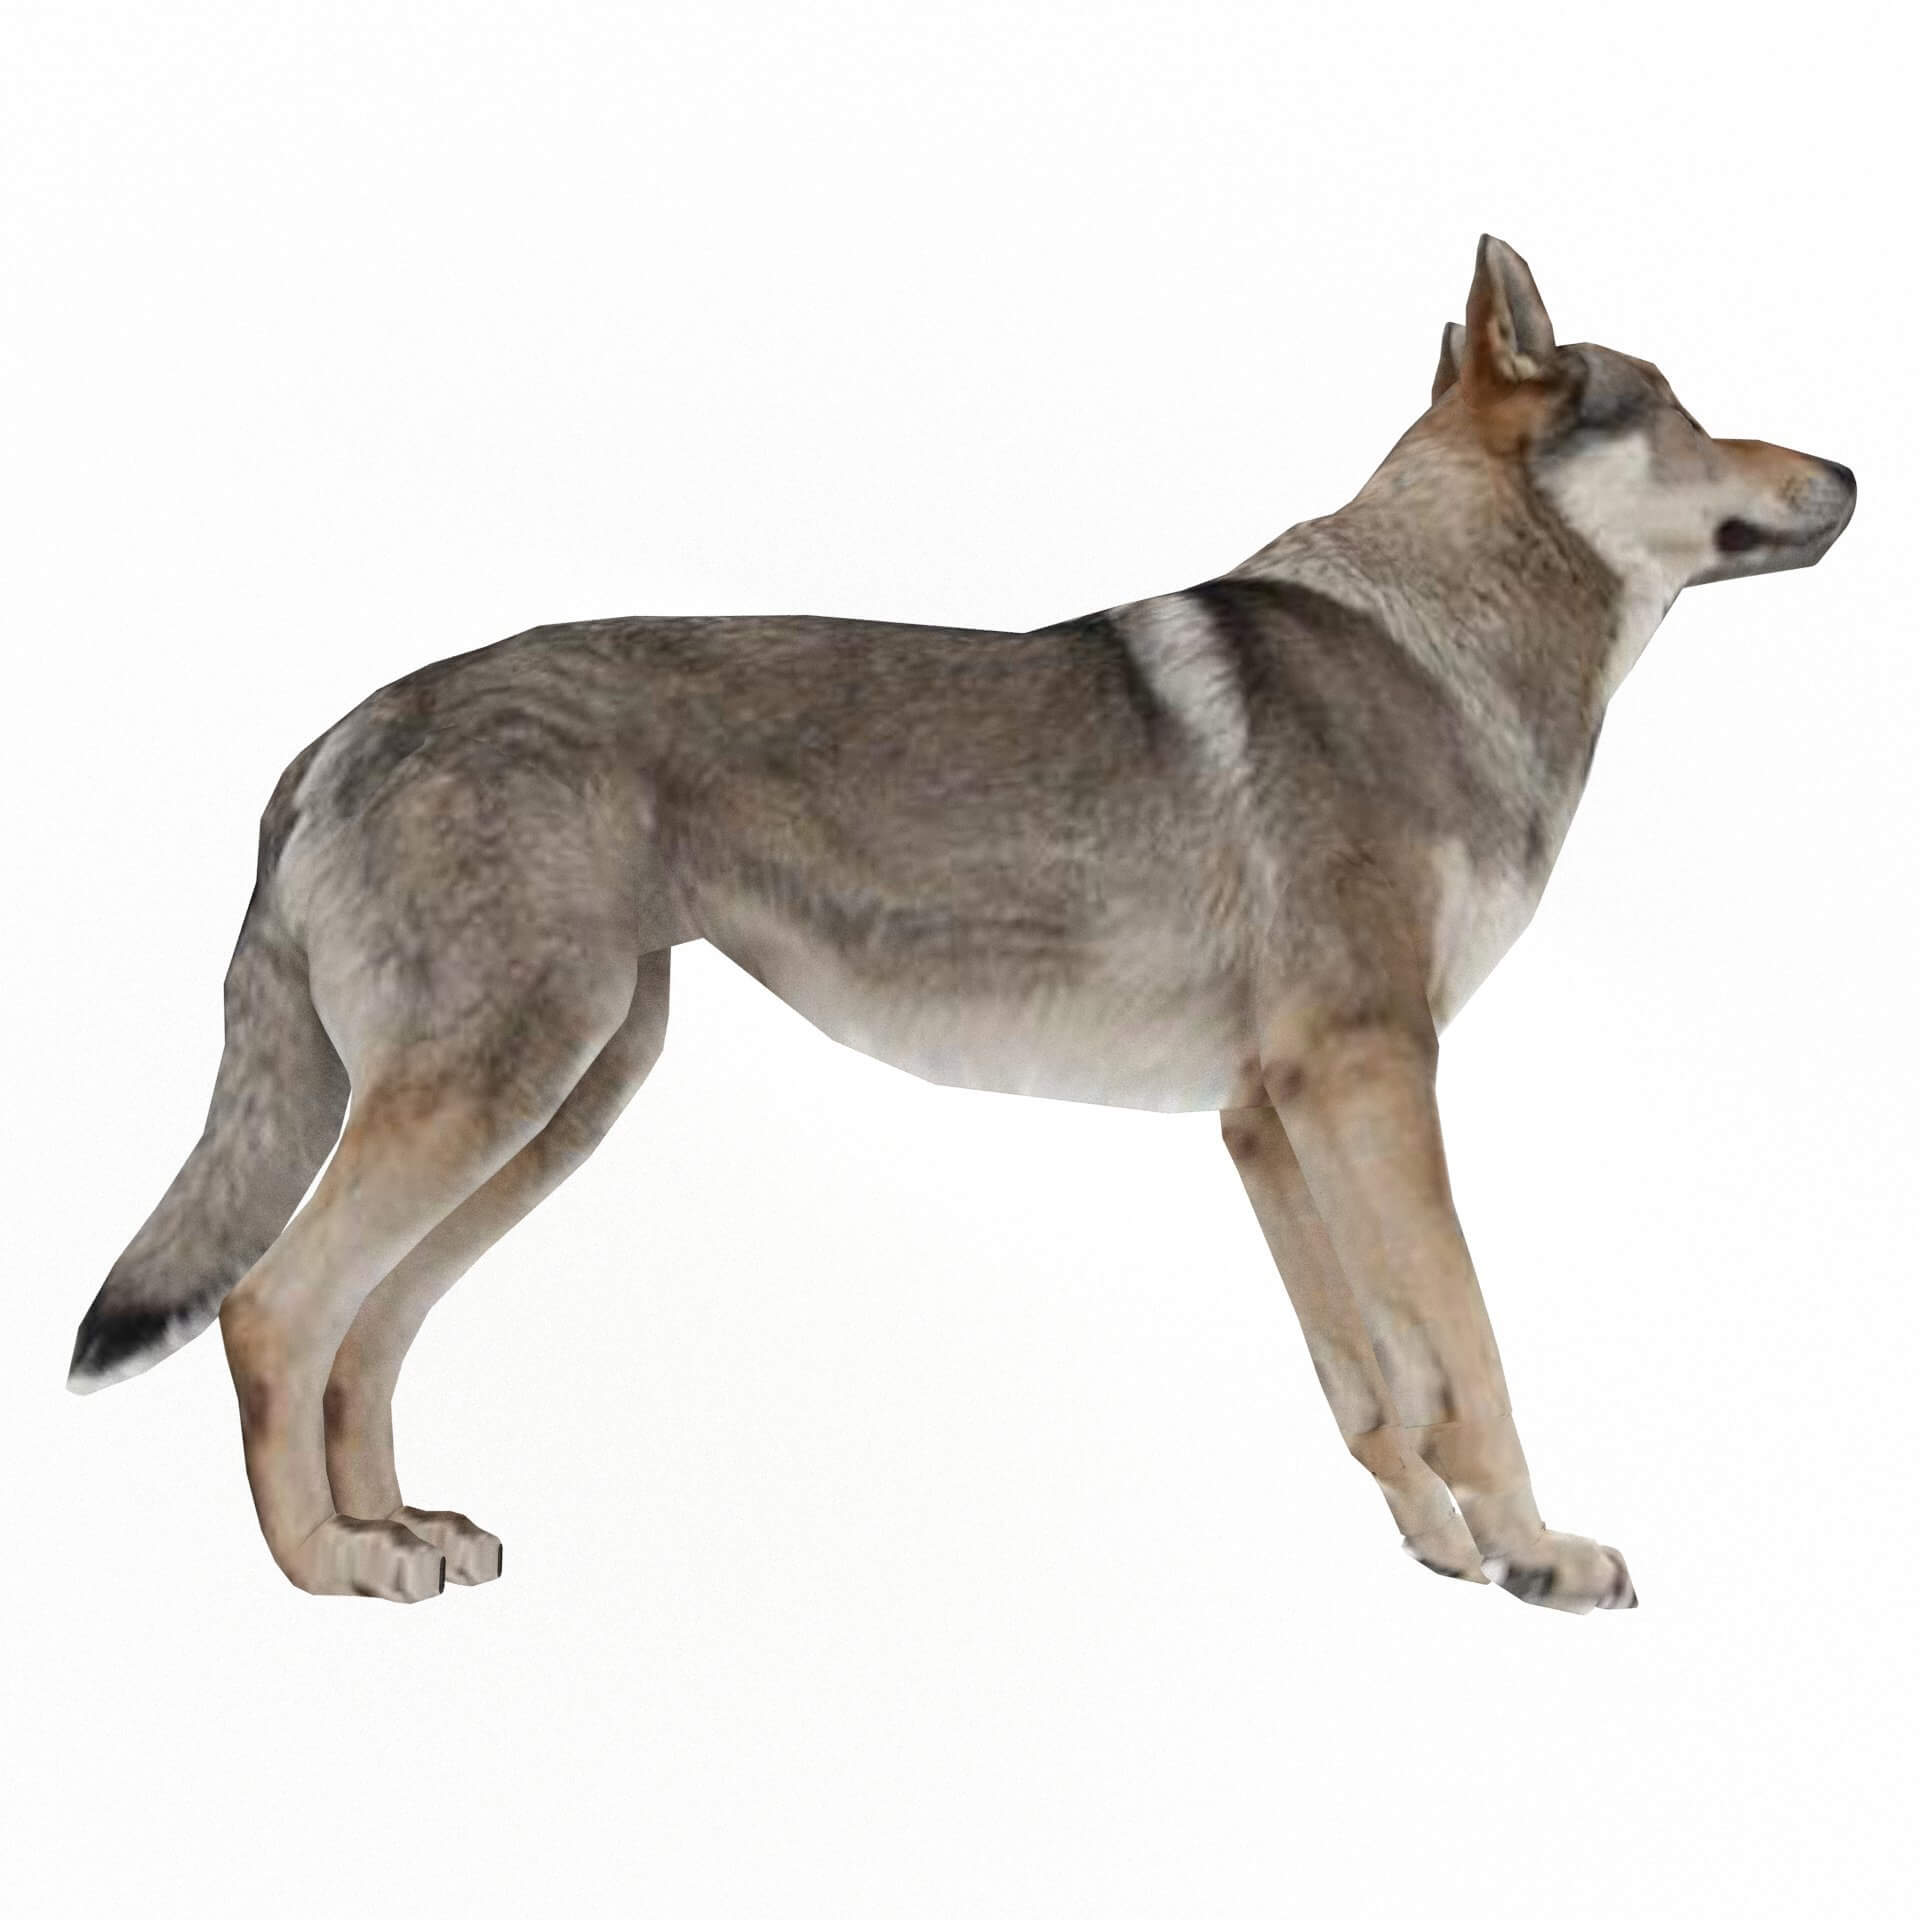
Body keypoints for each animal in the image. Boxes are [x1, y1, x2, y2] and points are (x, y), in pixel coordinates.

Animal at [69, 237, 1855, 1610]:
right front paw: (1543, 1556)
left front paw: (1442, 1551)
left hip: (566, 1093)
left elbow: (1373, 1379)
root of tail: (337, 729)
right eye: (1683, 415)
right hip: (508, 1084)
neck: (1441, 642)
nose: (1848, 470)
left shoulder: (1271, 1116)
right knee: (277, 1309)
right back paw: (331, 1568)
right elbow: (1467, 1358)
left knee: (366, 1329)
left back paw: (397, 1528)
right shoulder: (1370, 1078)